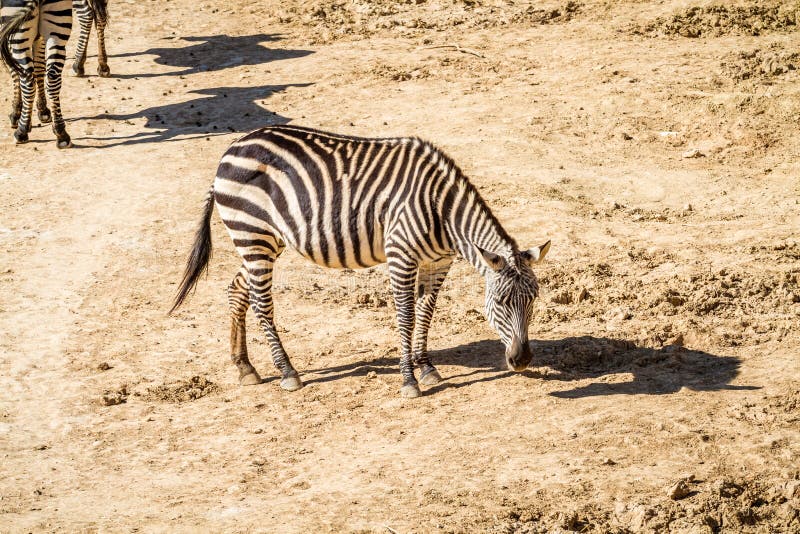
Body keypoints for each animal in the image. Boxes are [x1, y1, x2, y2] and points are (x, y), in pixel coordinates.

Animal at [1, 0, 72, 147]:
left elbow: (15, 71)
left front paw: (16, 113)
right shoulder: (40, 37)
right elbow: (39, 68)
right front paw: (43, 110)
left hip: (17, 33)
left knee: (27, 80)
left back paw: (21, 131)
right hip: (58, 23)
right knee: (52, 78)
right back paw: (61, 133)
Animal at [170, 125, 551, 398]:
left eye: (533, 300)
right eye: (501, 301)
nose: (522, 361)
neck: (442, 211)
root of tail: (231, 149)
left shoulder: (438, 262)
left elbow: (426, 313)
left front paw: (427, 367)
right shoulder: (401, 256)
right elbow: (407, 316)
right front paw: (409, 380)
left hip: (264, 239)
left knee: (238, 289)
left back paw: (245, 367)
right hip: (253, 234)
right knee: (262, 302)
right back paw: (288, 372)